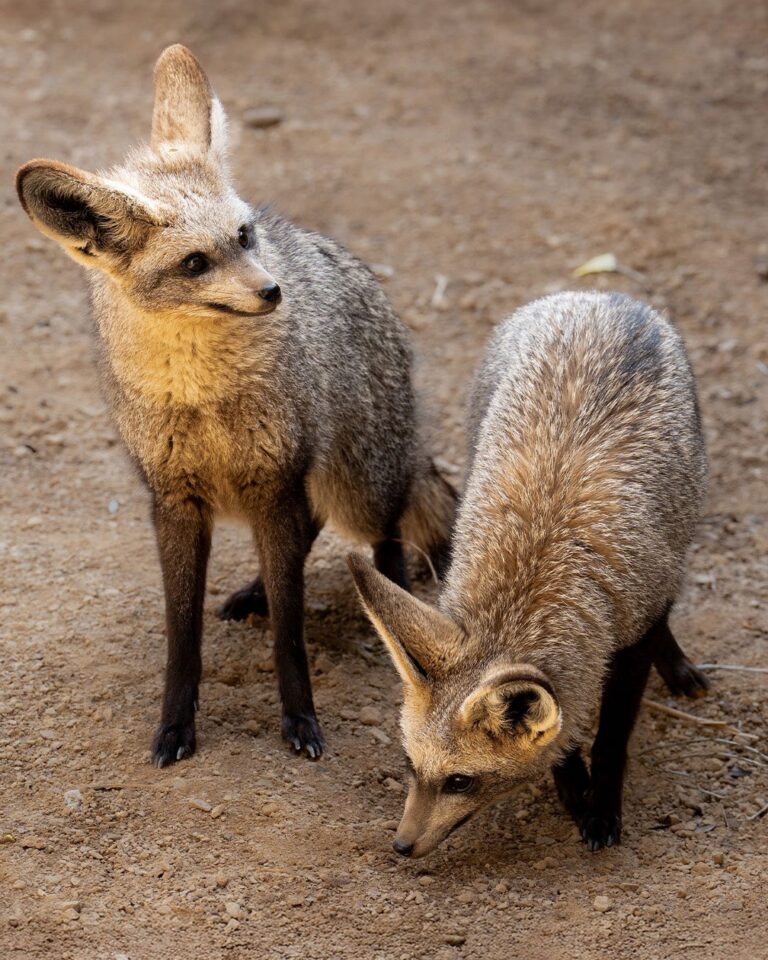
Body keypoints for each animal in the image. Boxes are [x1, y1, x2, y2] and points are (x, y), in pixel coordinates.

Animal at [16, 44, 455, 767]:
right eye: (196, 263)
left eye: (245, 235)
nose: (274, 292)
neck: (205, 400)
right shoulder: (174, 501)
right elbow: (183, 637)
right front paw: (174, 726)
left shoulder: (275, 481)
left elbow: (291, 636)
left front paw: (301, 720)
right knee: (310, 535)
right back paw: (256, 592)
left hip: (358, 486)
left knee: (385, 535)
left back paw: (387, 597)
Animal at [349, 291, 710, 858]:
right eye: (409, 765)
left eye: (460, 782)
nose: (401, 847)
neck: (535, 564)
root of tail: (599, 297)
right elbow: (564, 731)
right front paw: (573, 786)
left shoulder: (632, 630)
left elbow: (611, 738)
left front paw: (602, 806)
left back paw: (677, 665)